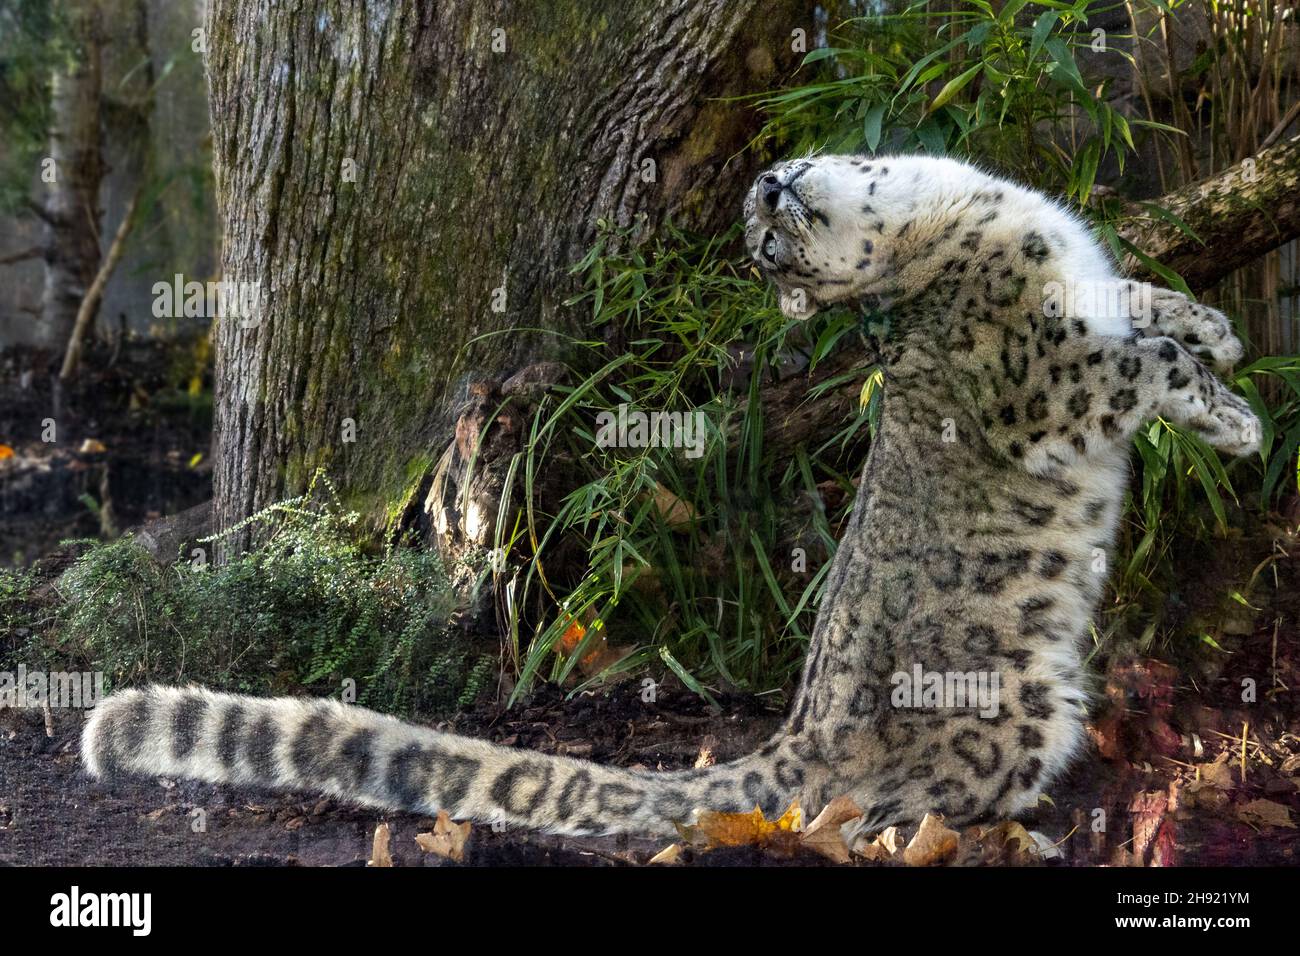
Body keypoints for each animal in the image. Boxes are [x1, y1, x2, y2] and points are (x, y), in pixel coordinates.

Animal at [81, 153, 1260, 841]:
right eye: (767, 246)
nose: (772, 190)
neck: (955, 204)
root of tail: (796, 732)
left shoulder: (1095, 295)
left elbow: (1152, 302)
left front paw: (1223, 332)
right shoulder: (1040, 381)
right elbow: (1143, 365)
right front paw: (1236, 415)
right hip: (1005, 716)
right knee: (899, 814)